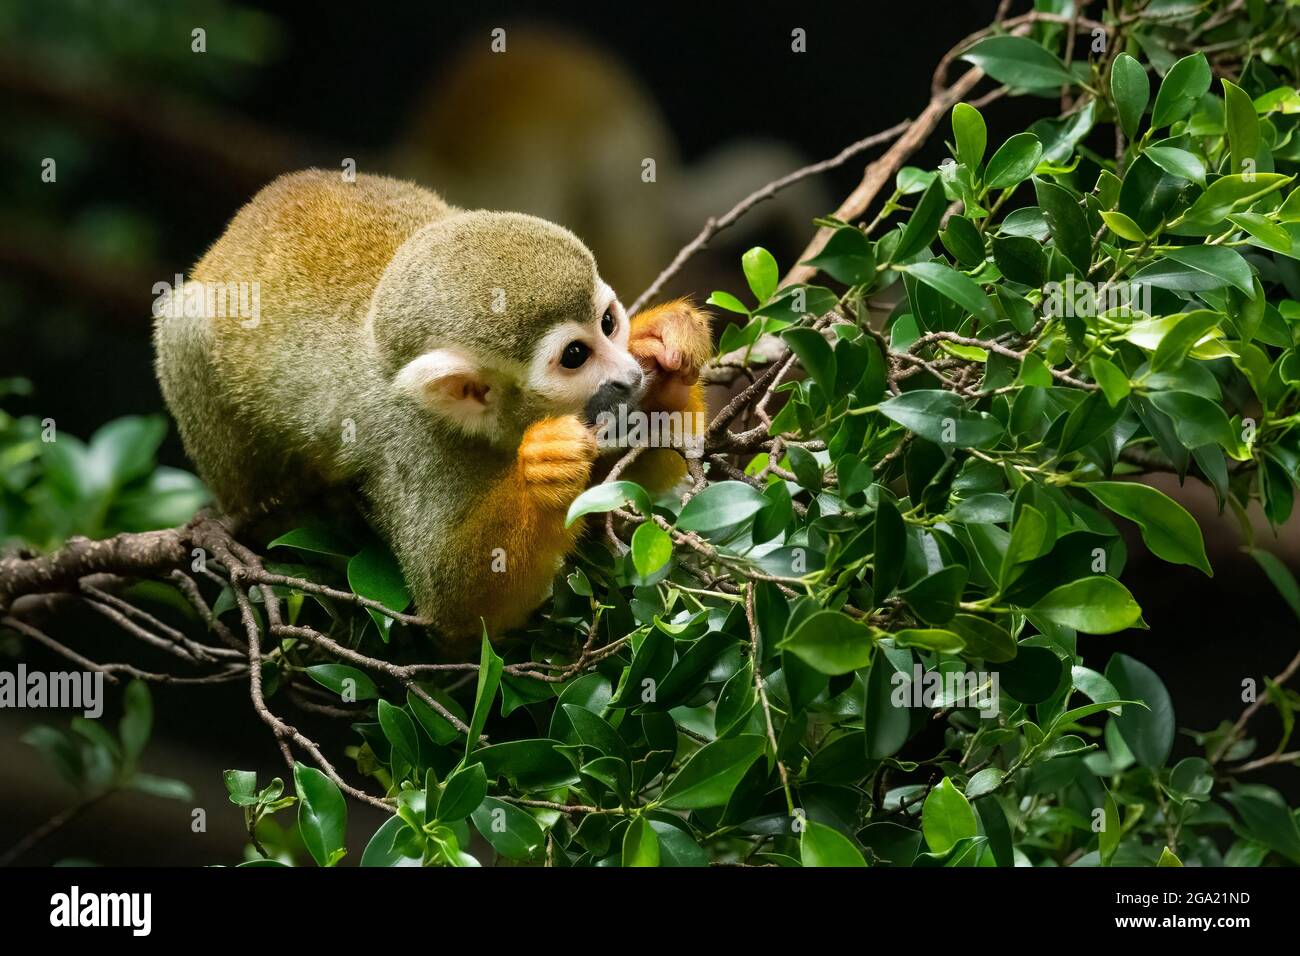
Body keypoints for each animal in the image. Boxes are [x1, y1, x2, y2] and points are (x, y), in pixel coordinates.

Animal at [153, 169, 712, 646]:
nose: (627, 377)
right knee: (184, 330)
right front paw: (543, 470)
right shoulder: (411, 439)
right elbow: (455, 603)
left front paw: (665, 351)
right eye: (575, 356)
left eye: (609, 323)